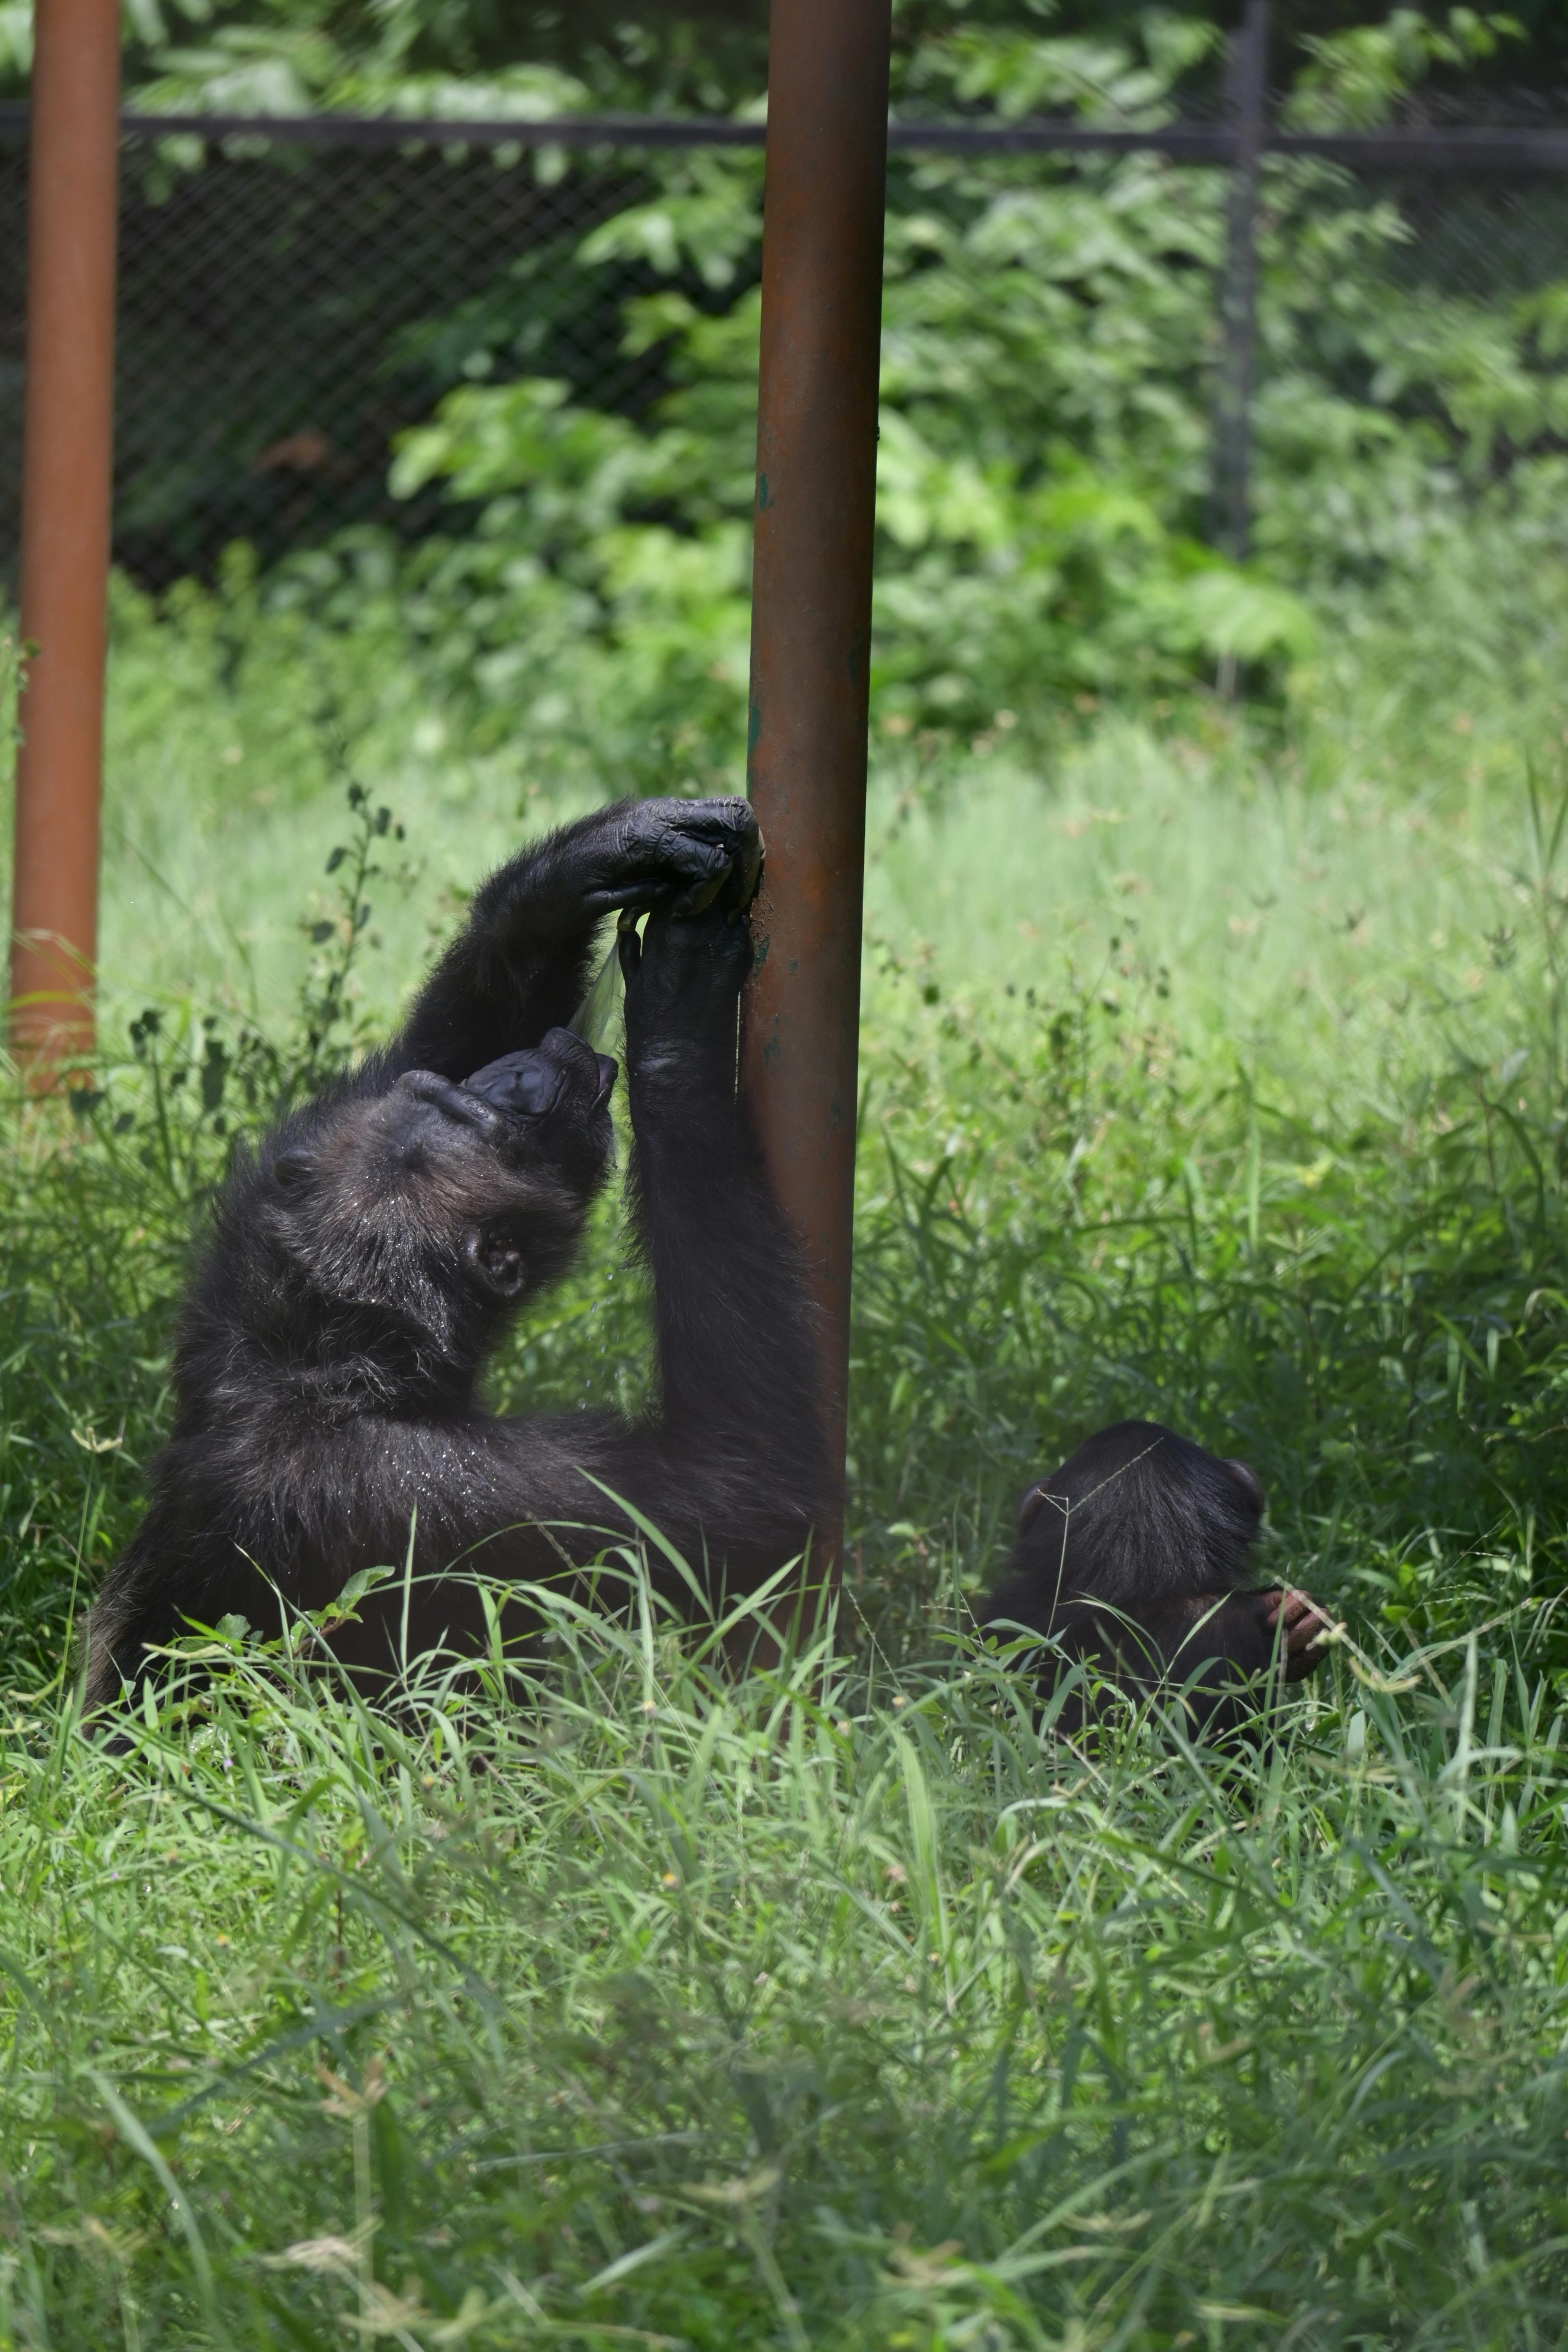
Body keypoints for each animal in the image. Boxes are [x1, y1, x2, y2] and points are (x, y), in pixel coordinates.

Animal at [84, 795, 831, 1708]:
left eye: (446, 1099)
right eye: (493, 1131)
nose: (514, 1081)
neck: (320, 1368)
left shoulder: (247, 1252)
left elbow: (418, 1047)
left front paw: (591, 861)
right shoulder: (464, 1491)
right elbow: (740, 1489)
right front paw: (680, 1002)